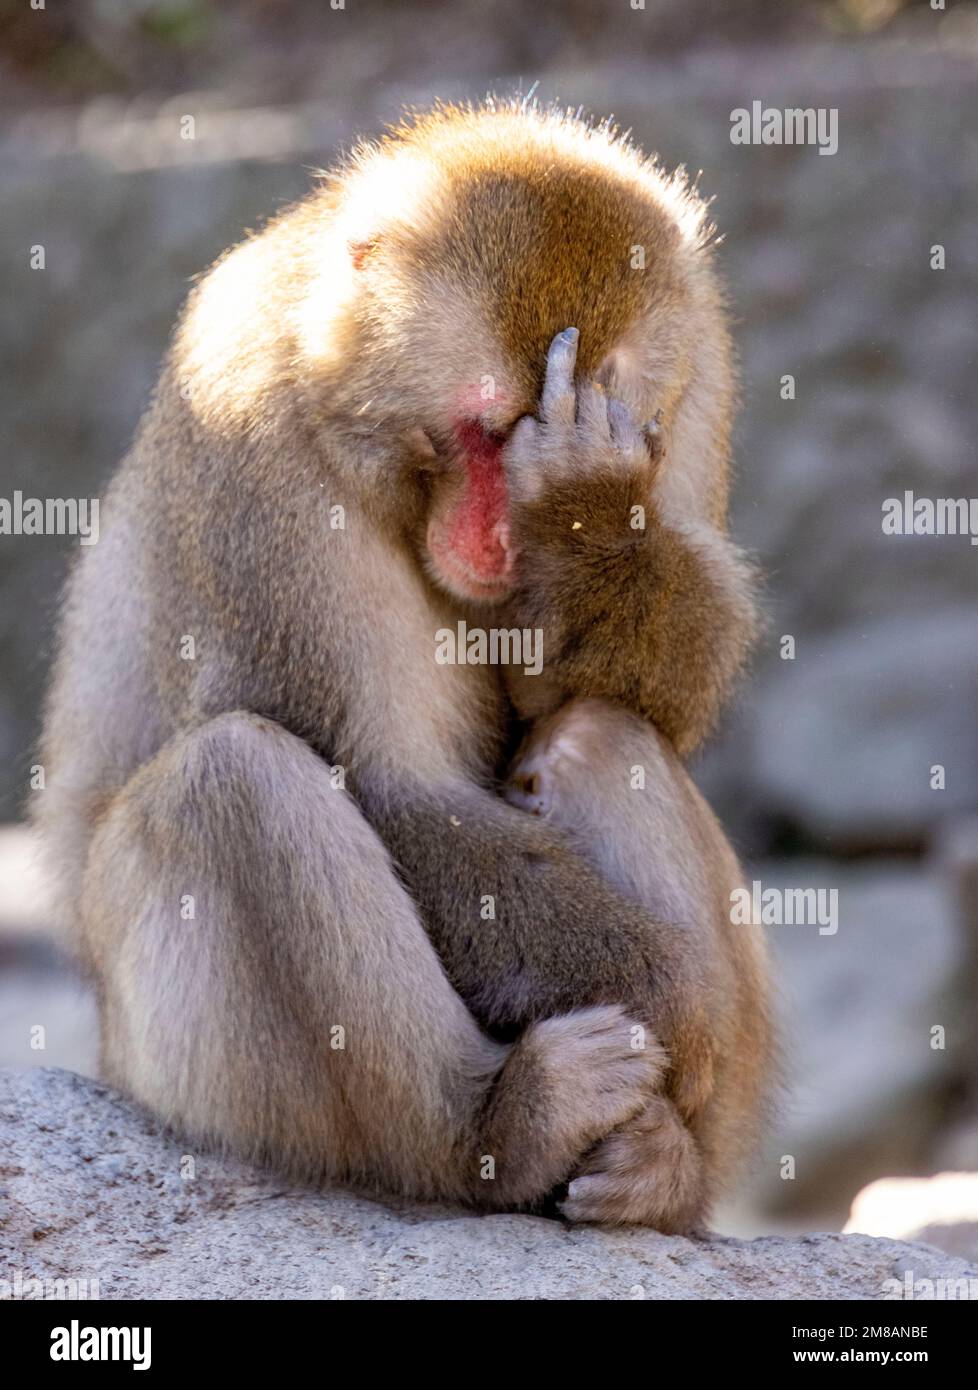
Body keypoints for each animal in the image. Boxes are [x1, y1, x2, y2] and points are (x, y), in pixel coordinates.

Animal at [33, 100, 771, 1229]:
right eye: (487, 430)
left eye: (550, 431)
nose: (504, 543)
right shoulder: (251, 424)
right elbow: (380, 781)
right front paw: (676, 1002)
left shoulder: (700, 381)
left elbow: (621, 699)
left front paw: (588, 513)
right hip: (174, 1073)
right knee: (233, 778)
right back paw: (497, 1130)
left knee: (599, 733)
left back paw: (665, 1170)